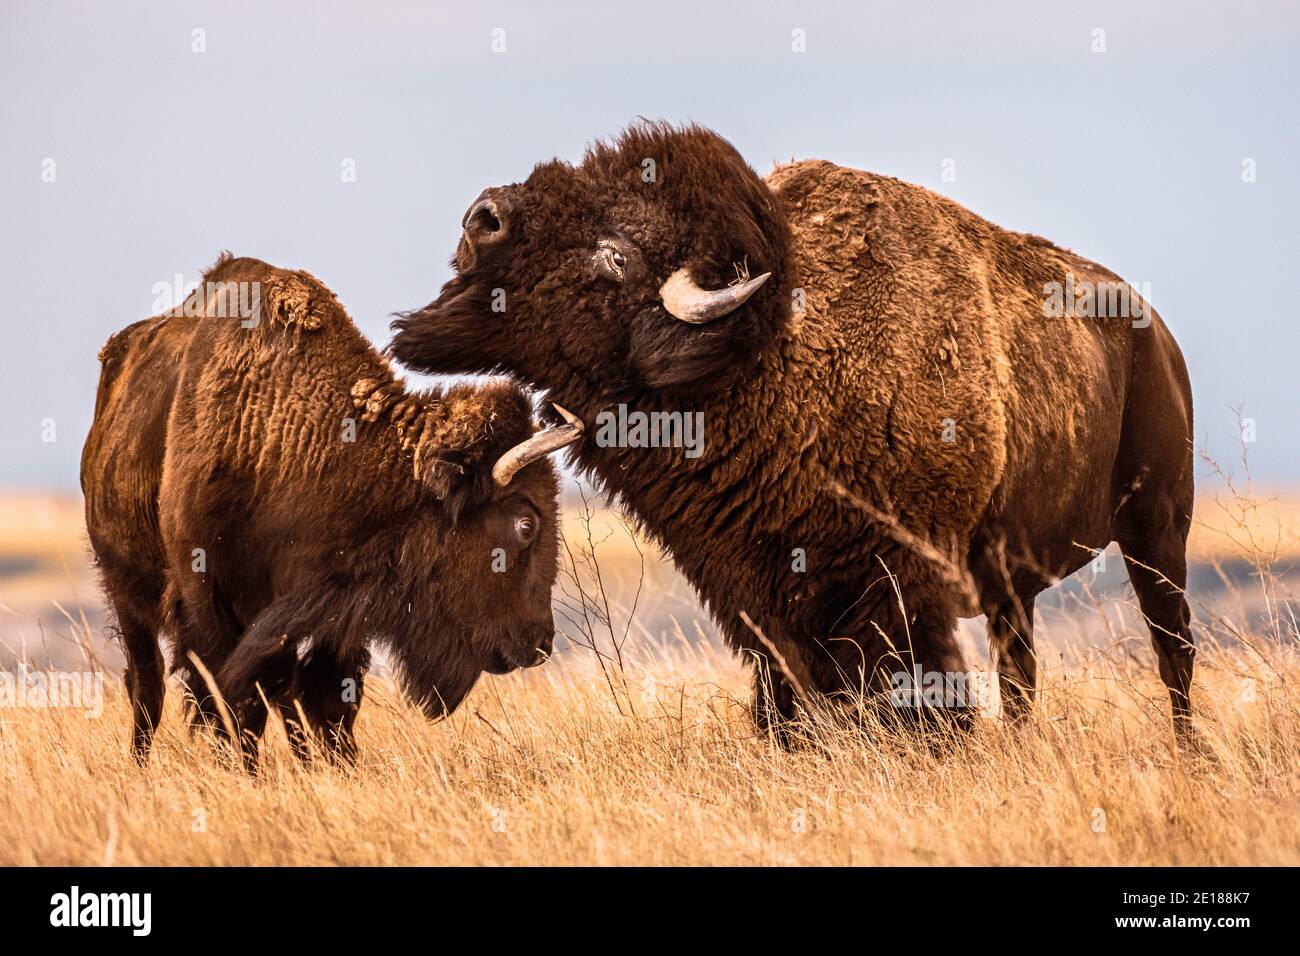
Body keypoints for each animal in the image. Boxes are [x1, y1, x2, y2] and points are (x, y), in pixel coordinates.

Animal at [83, 255, 581, 765]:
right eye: (526, 524)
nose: (541, 642)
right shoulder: (207, 601)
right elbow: (232, 701)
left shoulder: (330, 611)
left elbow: (323, 700)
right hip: (124, 589)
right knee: (147, 684)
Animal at [391, 122, 1197, 743]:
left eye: (615, 253)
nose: (482, 216)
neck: (773, 353)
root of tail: (1156, 334)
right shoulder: (759, 598)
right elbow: (787, 706)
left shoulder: (904, 588)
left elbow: (923, 696)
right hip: (1015, 590)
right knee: (1024, 673)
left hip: (1157, 530)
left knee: (1174, 651)